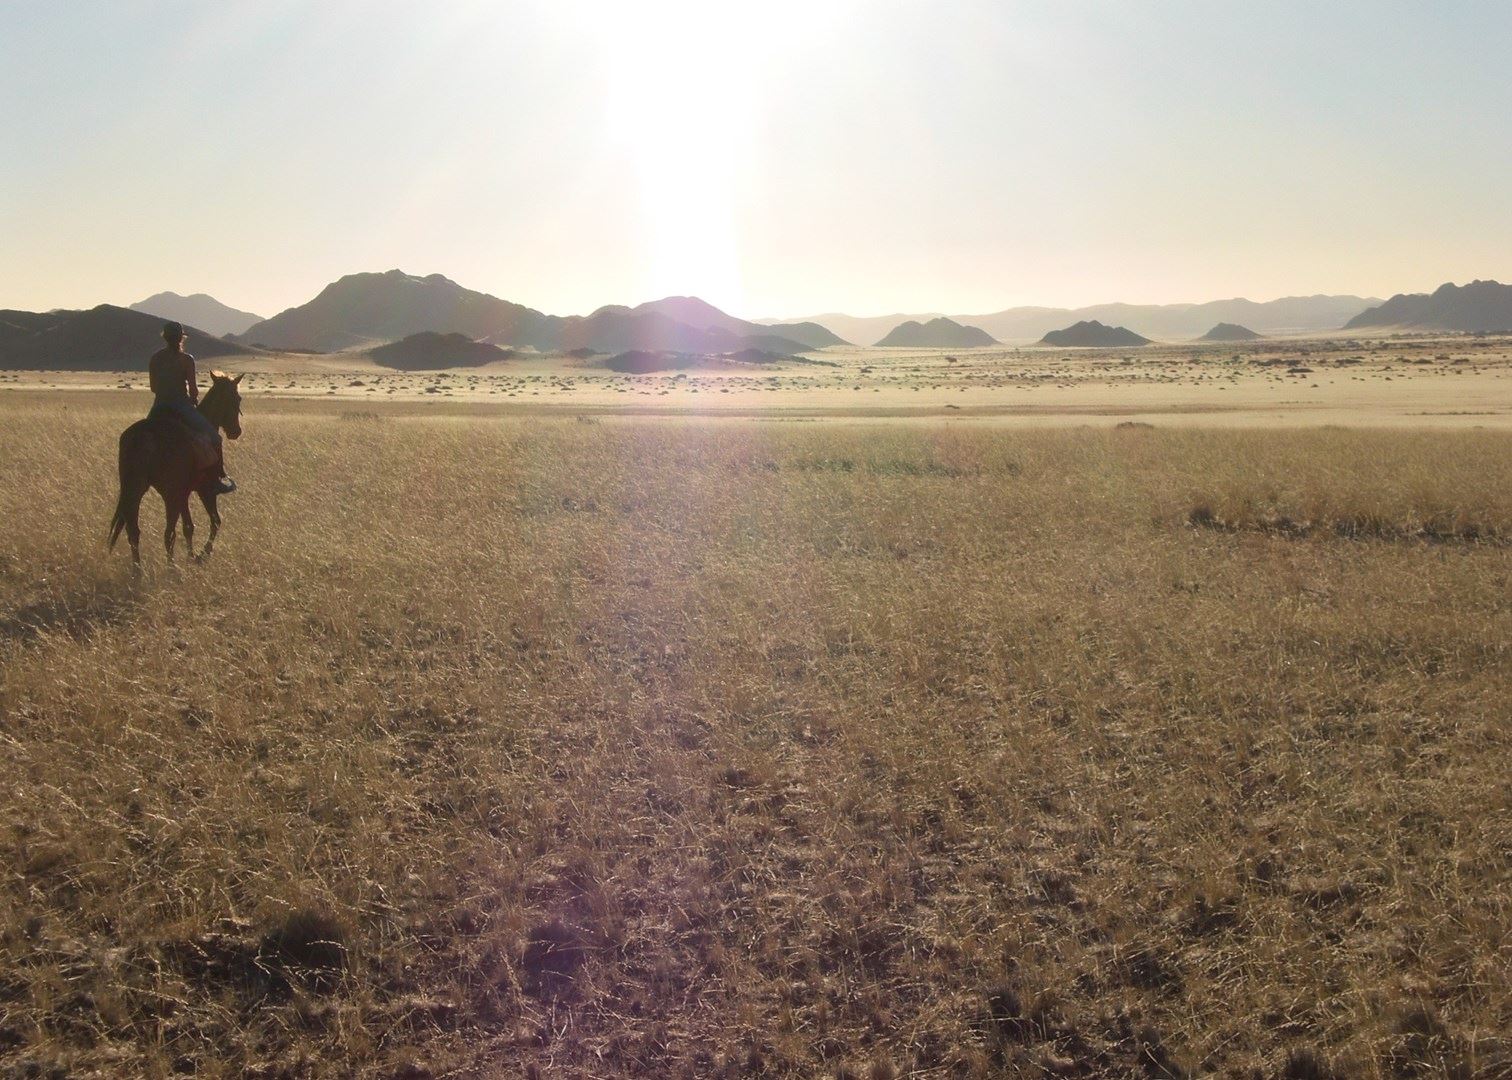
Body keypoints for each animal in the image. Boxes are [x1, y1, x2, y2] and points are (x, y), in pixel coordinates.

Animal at [108, 372, 243, 564]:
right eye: (237, 398)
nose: (236, 431)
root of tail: (146, 435)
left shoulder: (183, 494)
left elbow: (188, 526)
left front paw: (191, 555)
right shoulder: (205, 490)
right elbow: (215, 521)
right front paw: (202, 554)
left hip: (135, 489)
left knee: (134, 530)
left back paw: (138, 568)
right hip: (169, 493)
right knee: (168, 533)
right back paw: (171, 568)